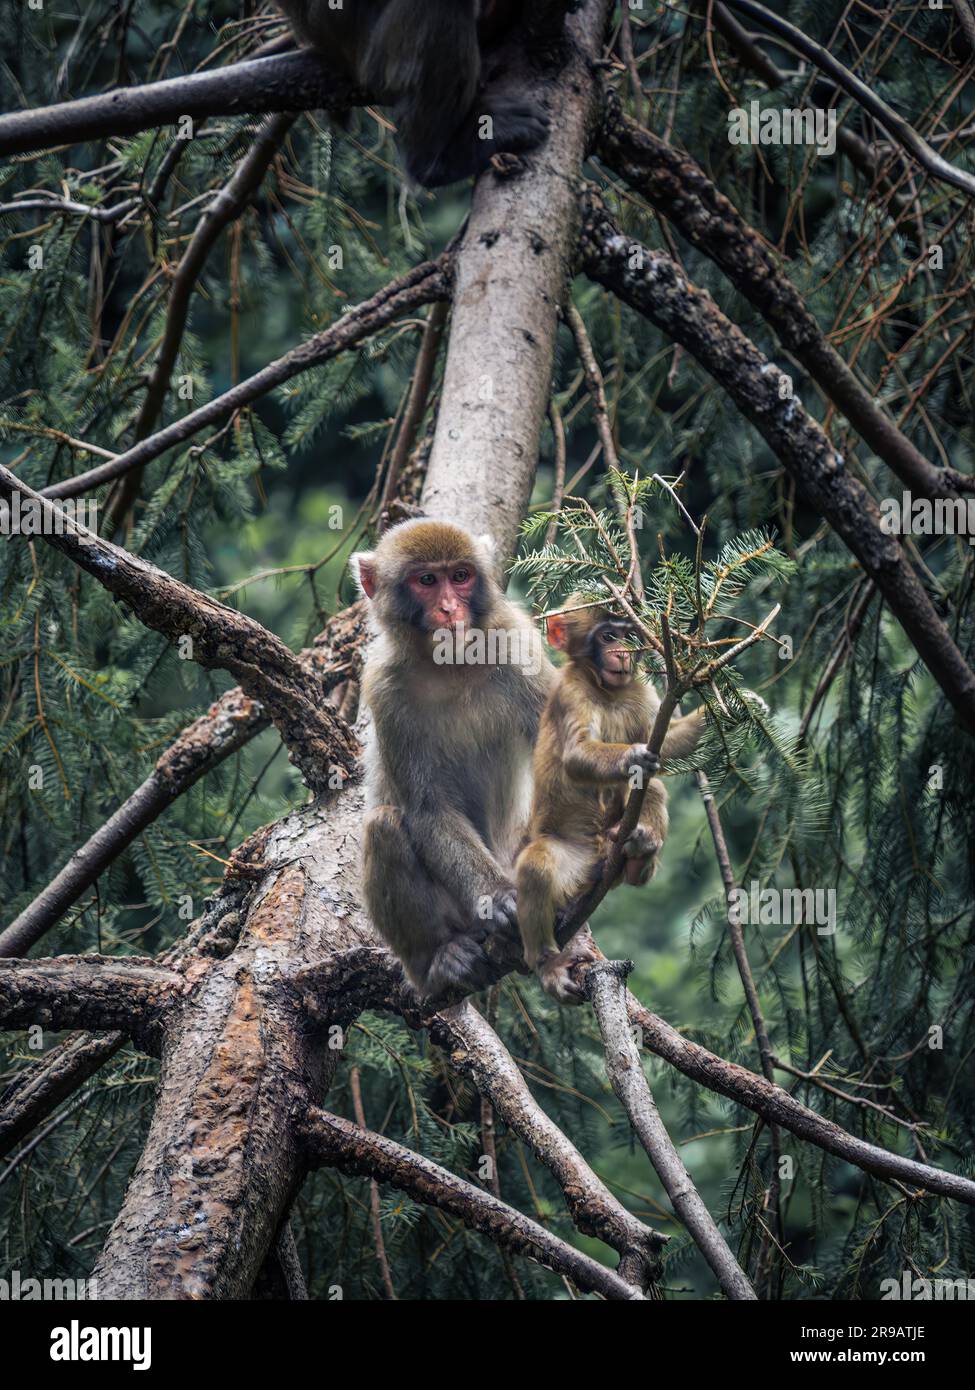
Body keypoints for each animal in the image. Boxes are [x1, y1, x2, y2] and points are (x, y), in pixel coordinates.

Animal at [351, 519, 553, 999]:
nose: (448, 609)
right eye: (427, 580)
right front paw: (497, 898)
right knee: (384, 825)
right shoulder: (385, 689)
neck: (450, 664)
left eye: (460, 576)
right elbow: (430, 810)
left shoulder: (518, 645)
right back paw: (438, 960)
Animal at [515, 599, 706, 1005]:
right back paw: (547, 964)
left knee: (652, 789)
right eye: (606, 636)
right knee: (537, 866)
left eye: (628, 635)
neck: (608, 692)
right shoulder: (570, 691)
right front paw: (633, 755)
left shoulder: (641, 689)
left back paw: (640, 854)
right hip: (574, 862)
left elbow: (665, 743)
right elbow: (576, 756)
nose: (623, 653)